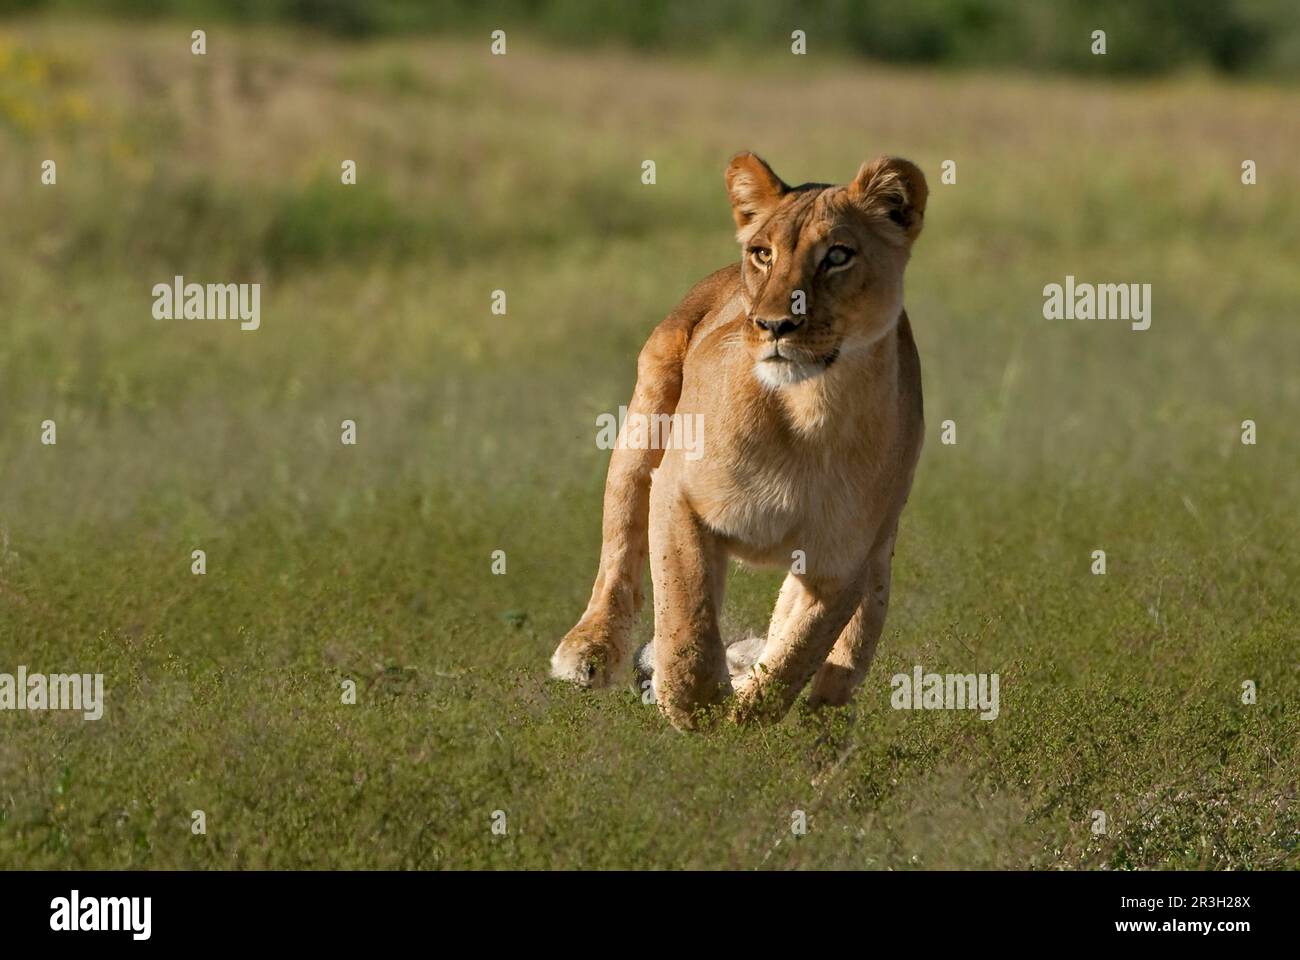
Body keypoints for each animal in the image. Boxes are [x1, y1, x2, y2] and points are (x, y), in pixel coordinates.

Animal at [550, 152, 927, 729]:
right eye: (763, 254)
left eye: (838, 255)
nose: (774, 324)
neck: (810, 411)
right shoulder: (677, 494)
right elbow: (687, 618)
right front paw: (695, 709)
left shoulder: (844, 557)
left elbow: (799, 647)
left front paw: (747, 709)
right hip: (642, 428)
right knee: (618, 551)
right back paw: (587, 652)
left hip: (880, 554)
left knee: (841, 653)